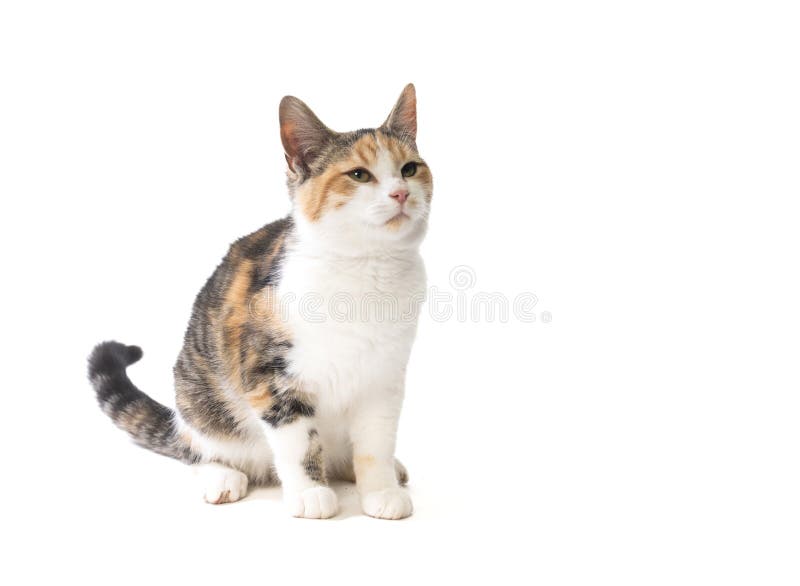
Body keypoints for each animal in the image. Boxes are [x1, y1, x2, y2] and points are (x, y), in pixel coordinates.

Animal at [88, 84, 432, 520]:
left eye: (410, 169)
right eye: (359, 174)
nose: (400, 193)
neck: (368, 269)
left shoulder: (384, 378)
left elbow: (376, 442)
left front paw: (381, 489)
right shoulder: (270, 375)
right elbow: (298, 440)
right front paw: (310, 493)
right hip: (200, 402)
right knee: (194, 449)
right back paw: (221, 476)